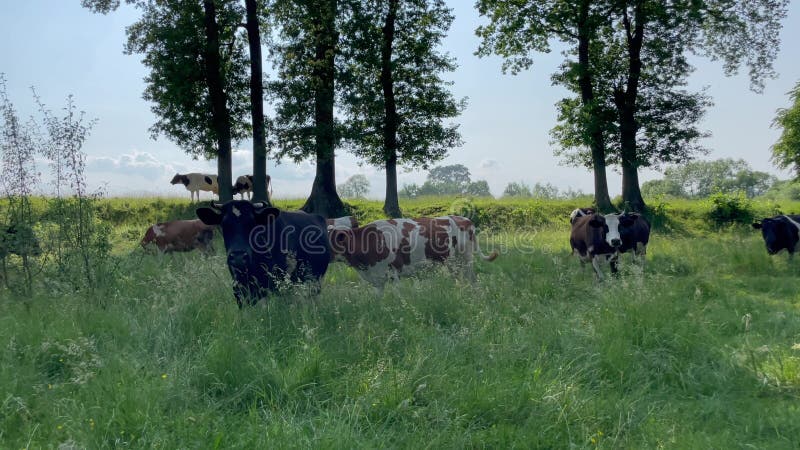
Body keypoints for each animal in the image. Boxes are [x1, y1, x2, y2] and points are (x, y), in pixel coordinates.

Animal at [328, 215, 498, 290]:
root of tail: (463, 218)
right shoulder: (377, 277)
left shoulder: (394, 271)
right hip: (454, 262)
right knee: (460, 278)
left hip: (465, 257)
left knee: (472, 279)